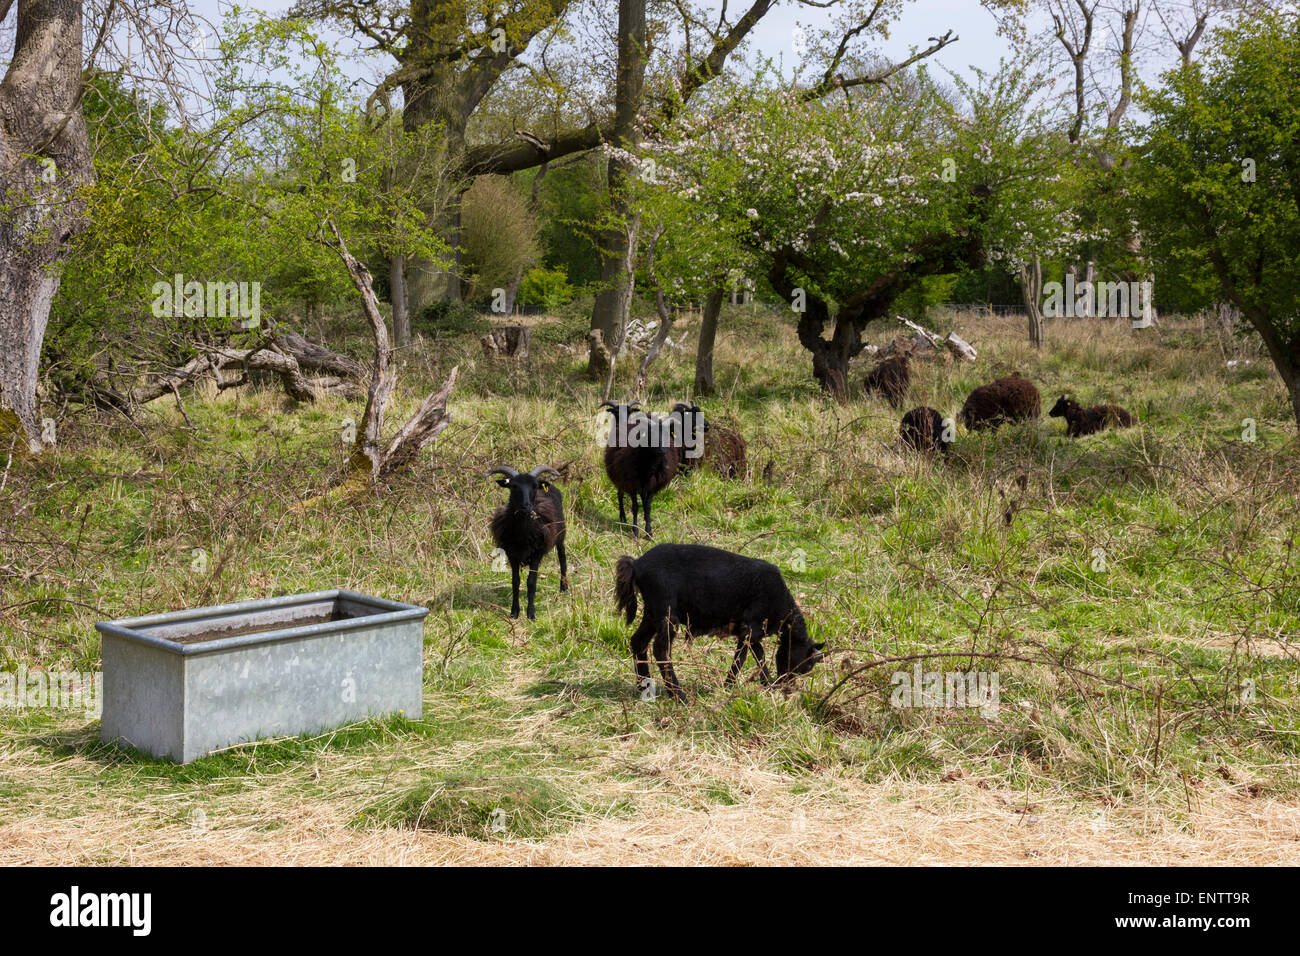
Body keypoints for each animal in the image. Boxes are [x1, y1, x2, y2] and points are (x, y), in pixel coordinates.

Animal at [487, 464, 567, 620]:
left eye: (534, 486)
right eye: (513, 486)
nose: (526, 507)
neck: (522, 533)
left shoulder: (537, 553)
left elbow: (531, 582)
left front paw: (531, 613)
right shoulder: (511, 554)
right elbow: (515, 581)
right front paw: (514, 612)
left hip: (560, 534)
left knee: (562, 557)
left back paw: (564, 587)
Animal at [600, 400, 681, 538]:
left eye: (667, 434)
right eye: (651, 434)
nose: (662, 450)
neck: (650, 464)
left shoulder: (653, 485)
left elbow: (647, 506)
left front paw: (649, 531)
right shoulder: (632, 483)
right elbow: (635, 507)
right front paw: (635, 531)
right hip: (621, 478)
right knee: (620, 495)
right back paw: (623, 518)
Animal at [614, 543, 824, 701]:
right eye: (806, 665)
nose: (786, 687)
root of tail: (636, 564)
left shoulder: (749, 631)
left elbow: (757, 655)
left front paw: (765, 684)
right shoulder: (752, 627)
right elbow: (744, 659)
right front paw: (731, 686)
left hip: (652, 611)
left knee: (638, 641)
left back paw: (645, 686)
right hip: (666, 611)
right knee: (661, 650)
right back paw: (679, 696)